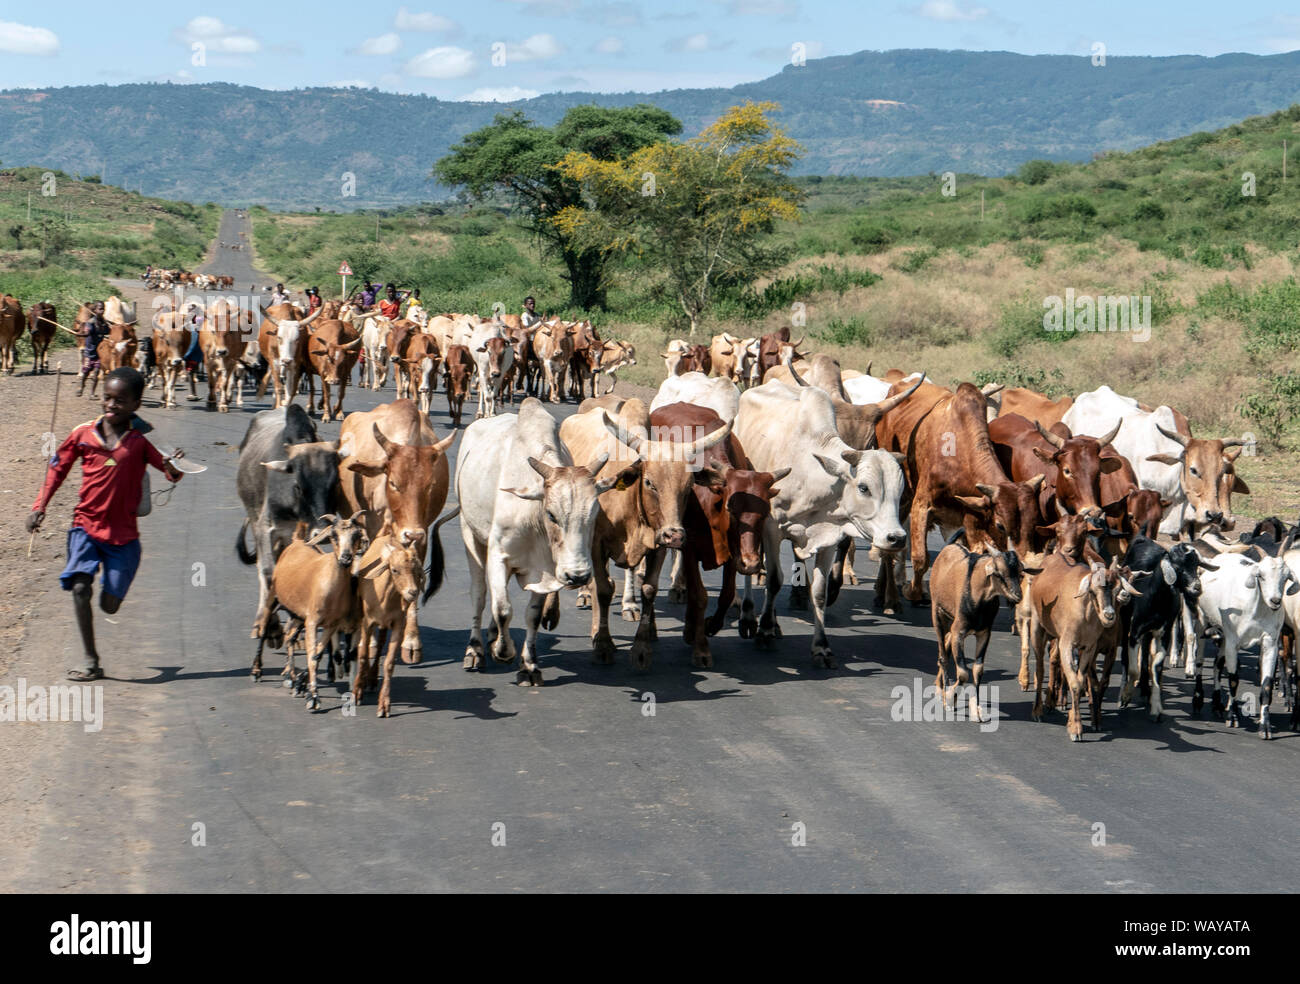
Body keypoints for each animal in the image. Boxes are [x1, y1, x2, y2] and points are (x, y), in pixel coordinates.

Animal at [235, 405, 342, 650]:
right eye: (299, 486)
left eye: (335, 484)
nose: (322, 532)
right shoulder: (265, 527)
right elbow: (267, 571)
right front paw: (273, 630)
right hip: (255, 518)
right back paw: (261, 623)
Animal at [339, 399, 457, 663]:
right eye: (393, 482)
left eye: (430, 485)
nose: (411, 534)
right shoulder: (373, 529)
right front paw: (369, 639)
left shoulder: (421, 534)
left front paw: (411, 640)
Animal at [457, 398, 611, 685]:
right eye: (551, 514)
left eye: (594, 513)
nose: (578, 576)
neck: (533, 518)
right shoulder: (498, 555)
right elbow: (503, 608)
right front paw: (503, 652)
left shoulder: (546, 571)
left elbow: (533, 615)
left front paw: (528, 666)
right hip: (469, 534)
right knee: (480, 595)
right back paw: (475, 650)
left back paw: (493, 636)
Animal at [559, 398, 730, 670]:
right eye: (649, 482)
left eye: (688, 486)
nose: (676, 535)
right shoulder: (596, 544)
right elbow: (603, 590)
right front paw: (603, 644)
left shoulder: (657, 545)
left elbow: (649, 589)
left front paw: (641, 648)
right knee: (597, 585)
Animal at [734, 381, 907, 666]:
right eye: (863, 487)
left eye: (900, 490)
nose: (897, 538)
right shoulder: (771, 529)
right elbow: (773, 580)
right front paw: (765, 631)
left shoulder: (829, 539)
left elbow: (819, 593)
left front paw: (821, 647)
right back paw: (749, 618)